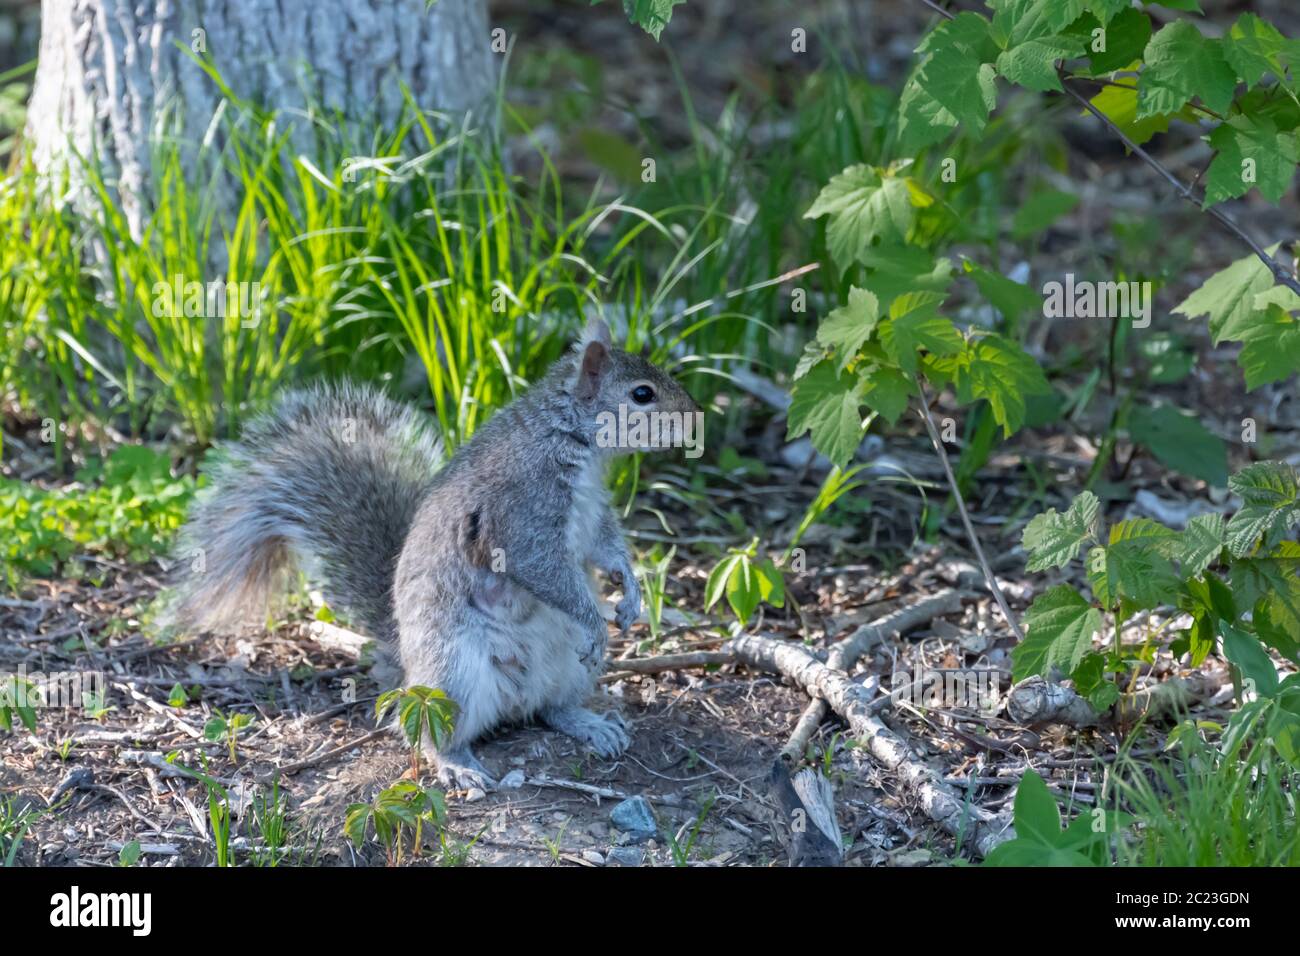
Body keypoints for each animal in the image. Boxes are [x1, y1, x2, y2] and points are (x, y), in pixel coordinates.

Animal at [166, 318, 700, 788]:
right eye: (642, 395)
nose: (695, 416)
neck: (574, 441)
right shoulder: (522, 512)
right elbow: (540, 566)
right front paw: (597, 619)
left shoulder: (592, 514)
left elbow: (605, 547)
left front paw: (629, 592)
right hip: (452, 671)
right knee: (427, 733)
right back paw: (456, 763)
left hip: (566, 669)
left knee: (551, 707)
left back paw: (588, 723)